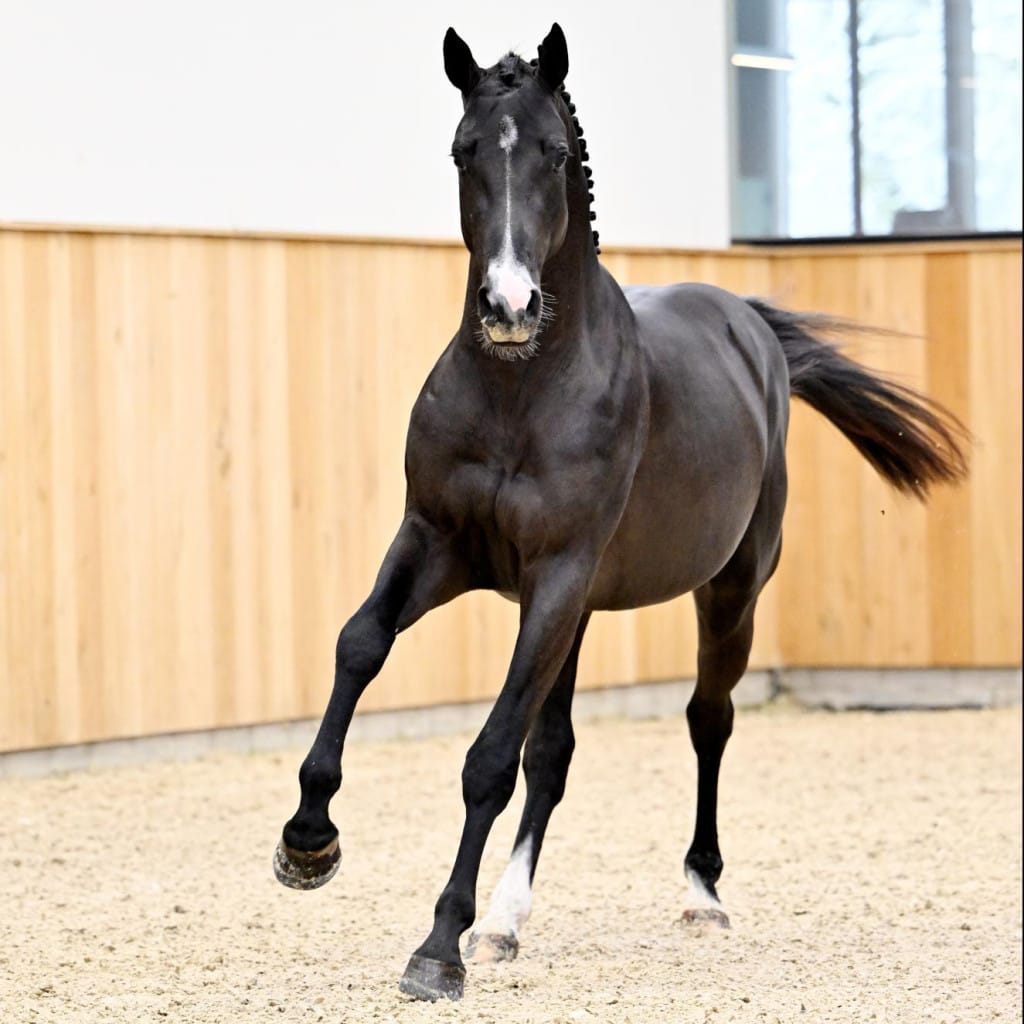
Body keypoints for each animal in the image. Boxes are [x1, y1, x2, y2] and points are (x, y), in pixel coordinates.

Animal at [272, 23, 968, 1002]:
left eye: (556, 153)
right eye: (463, 151)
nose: (509, 306)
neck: (521, 389)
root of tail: (750, 325)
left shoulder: (557, 574)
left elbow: (490, 756)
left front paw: (438, 947)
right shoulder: (440, 545)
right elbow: (361, 644)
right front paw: (309, 842)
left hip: (726, 593)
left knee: (707, 720)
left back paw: (700, 895)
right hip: (575, 612)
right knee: (554, 753)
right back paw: (506, 923)